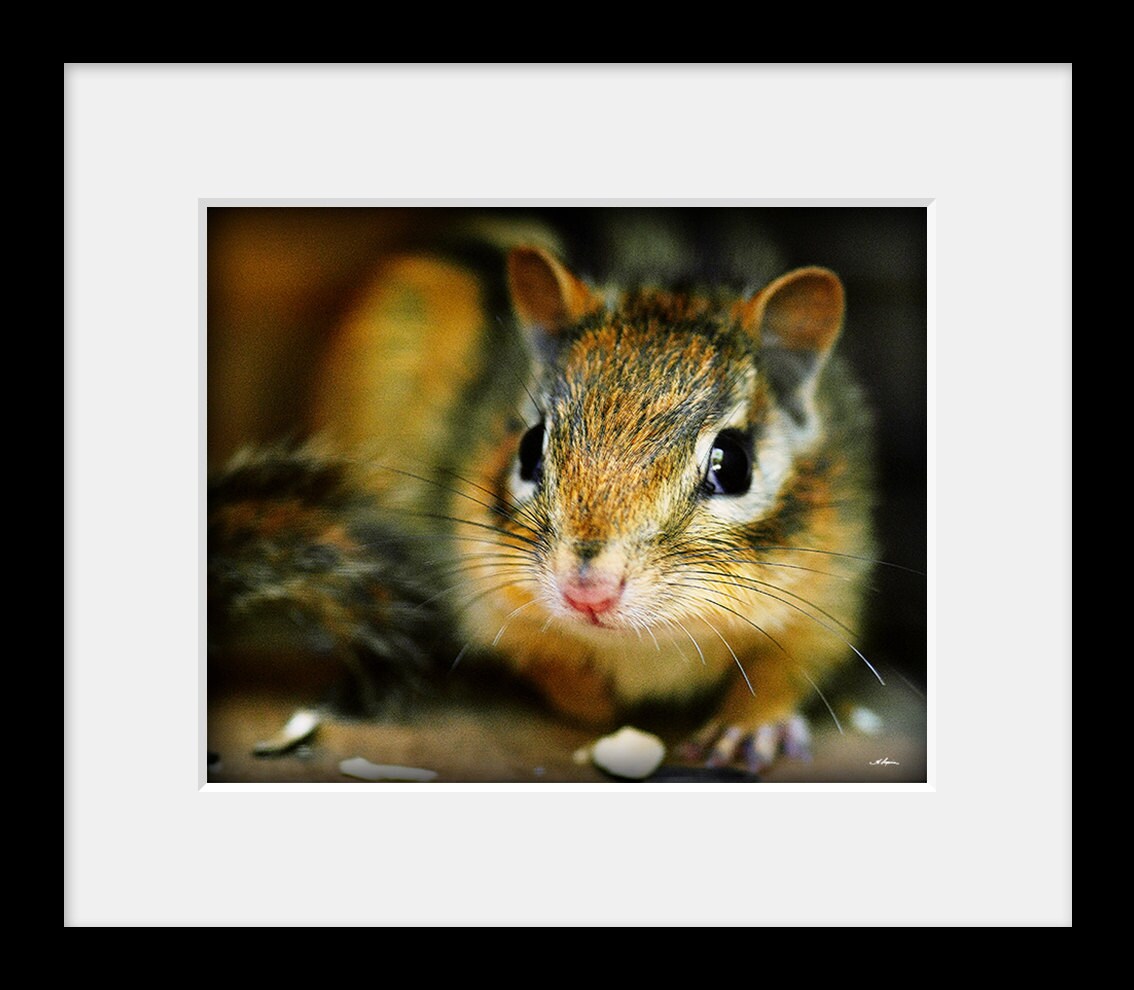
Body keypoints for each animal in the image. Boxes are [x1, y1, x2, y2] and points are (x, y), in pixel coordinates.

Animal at [208, 214, 881, 773]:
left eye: (733, 464)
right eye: (530, 447)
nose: (588, 592)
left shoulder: (830, 593)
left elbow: (789, 669)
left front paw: (748, 728)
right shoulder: (476, 584)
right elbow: (538, 657)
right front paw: (592, 699)